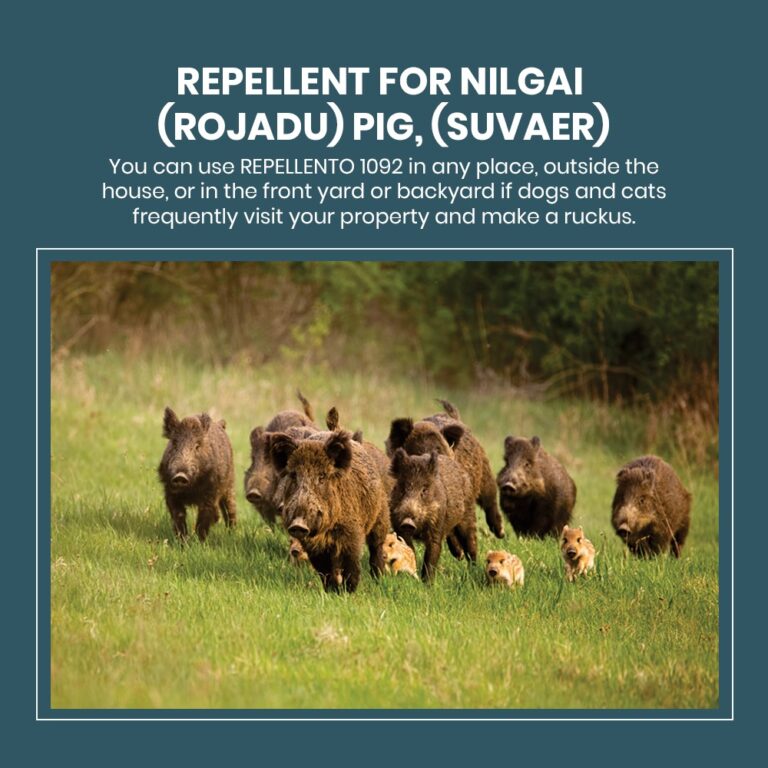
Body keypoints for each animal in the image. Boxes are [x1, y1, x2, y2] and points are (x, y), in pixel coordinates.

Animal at [157, 407, 236, 541]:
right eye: (174, 443)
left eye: (197, 446)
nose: (180, 476)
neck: (190, 490)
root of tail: (220, 423)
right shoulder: (170, 492)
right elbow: (178, 515)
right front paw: (182, 541)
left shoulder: (211, 493)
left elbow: (204, 517)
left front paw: (200, 542)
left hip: (229, 485)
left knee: (230, 507)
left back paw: (232, 533)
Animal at [268, 429, 389, 592]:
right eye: (294, 475)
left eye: (322, 476)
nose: (298, 525)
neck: (325, 531)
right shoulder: (313, 547)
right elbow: (324, 570)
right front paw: (332, 591)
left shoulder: (352, 533)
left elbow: (351, 563)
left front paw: (349, 591)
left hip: (380, 517)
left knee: (376, 547)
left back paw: (379, 578)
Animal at [389, 448, 477, 582]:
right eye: (403, 488)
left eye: (424, 490)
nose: (408, 522)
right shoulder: (398, 526)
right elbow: (409, 548)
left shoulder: (436, 526)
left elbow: (432, 554)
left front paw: (427, 583)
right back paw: (460, 556)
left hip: (468, 514)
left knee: (470, 542)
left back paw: (473, 568)